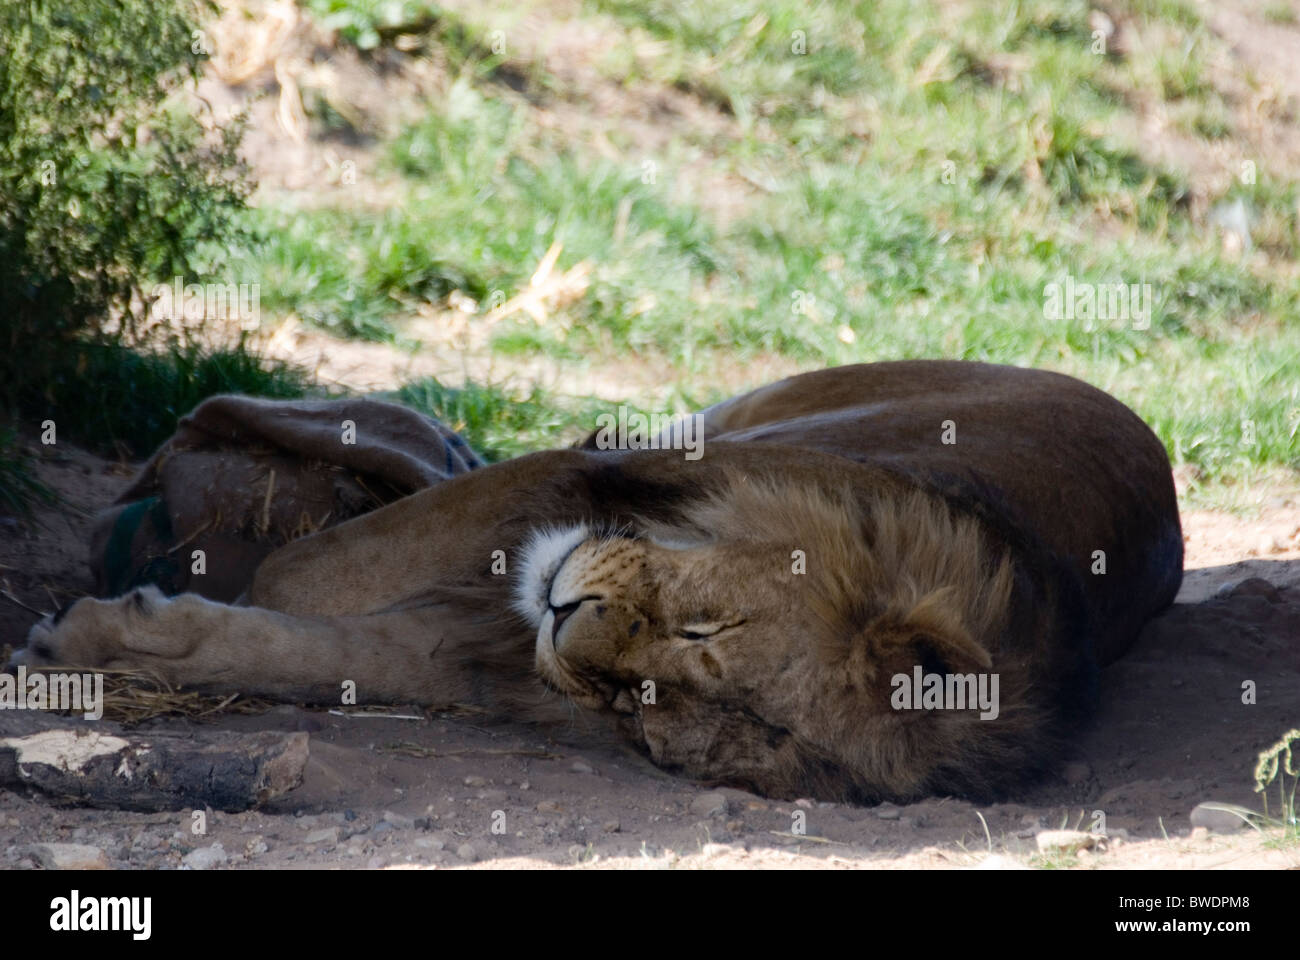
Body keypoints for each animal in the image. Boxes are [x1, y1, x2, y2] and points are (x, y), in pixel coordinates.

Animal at [9, 360, 1183, 803]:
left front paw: (108, 637)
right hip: (728, 416)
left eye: (646, 708)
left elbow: (314, 635)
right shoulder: (595, 483)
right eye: (709, 627)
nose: (565, 613)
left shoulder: (474, 646)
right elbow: (315, 568)